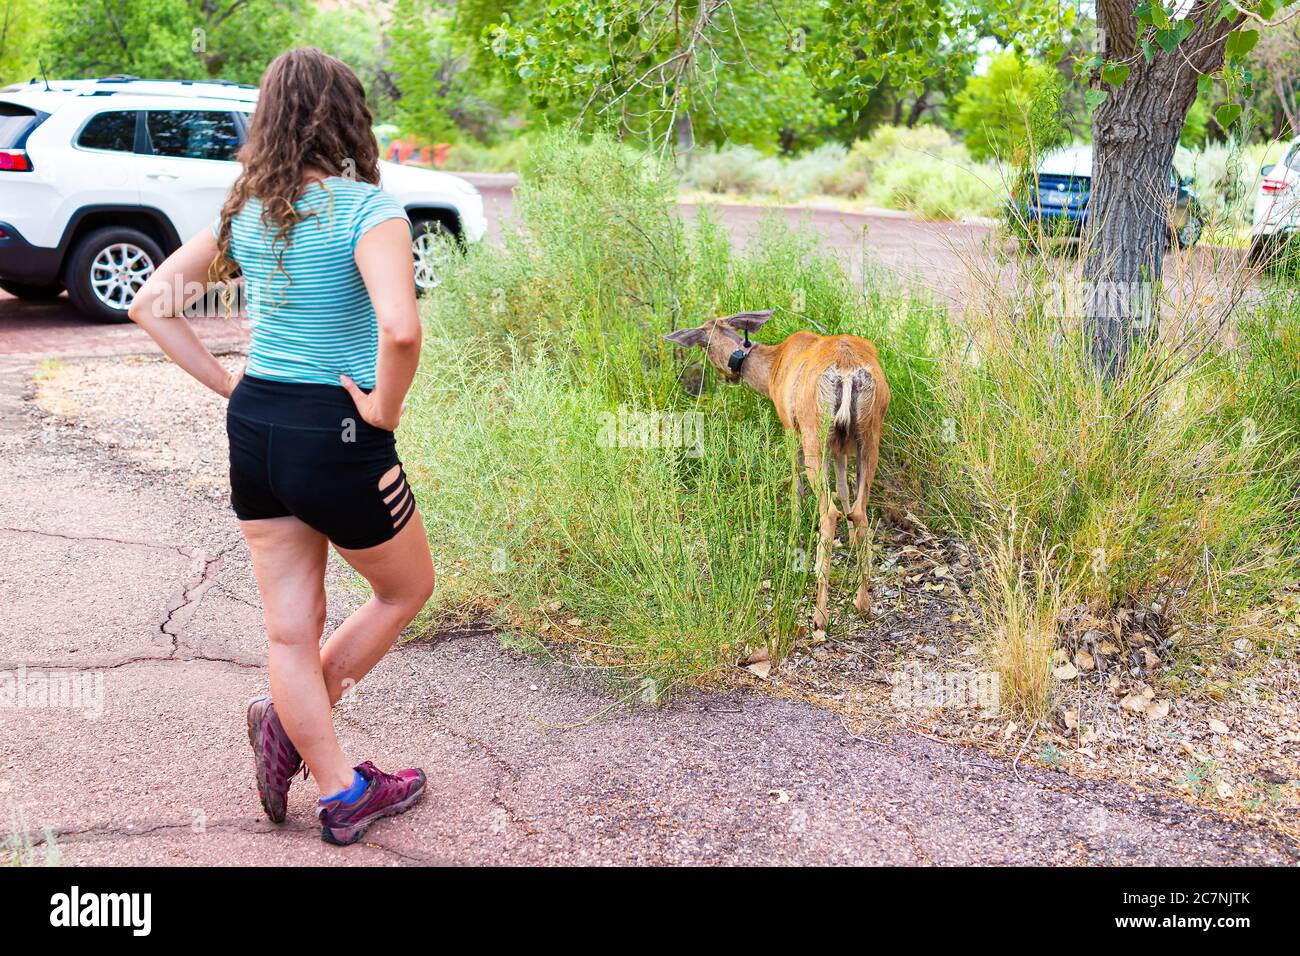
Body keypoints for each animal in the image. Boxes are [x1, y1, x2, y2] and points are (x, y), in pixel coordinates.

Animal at [665, 310, 890, 643]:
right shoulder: (840, 446)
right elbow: (844, 490)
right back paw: (863, 603)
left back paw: (819, 616)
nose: (724, 377)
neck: (772, 367)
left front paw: (794, 534)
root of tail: (848, 372)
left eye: (703, 345)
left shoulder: (788, 424)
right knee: (859, 511)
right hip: (869, 434)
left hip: (813, 430)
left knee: (828, 510)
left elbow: (797, 487)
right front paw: (848, 543)